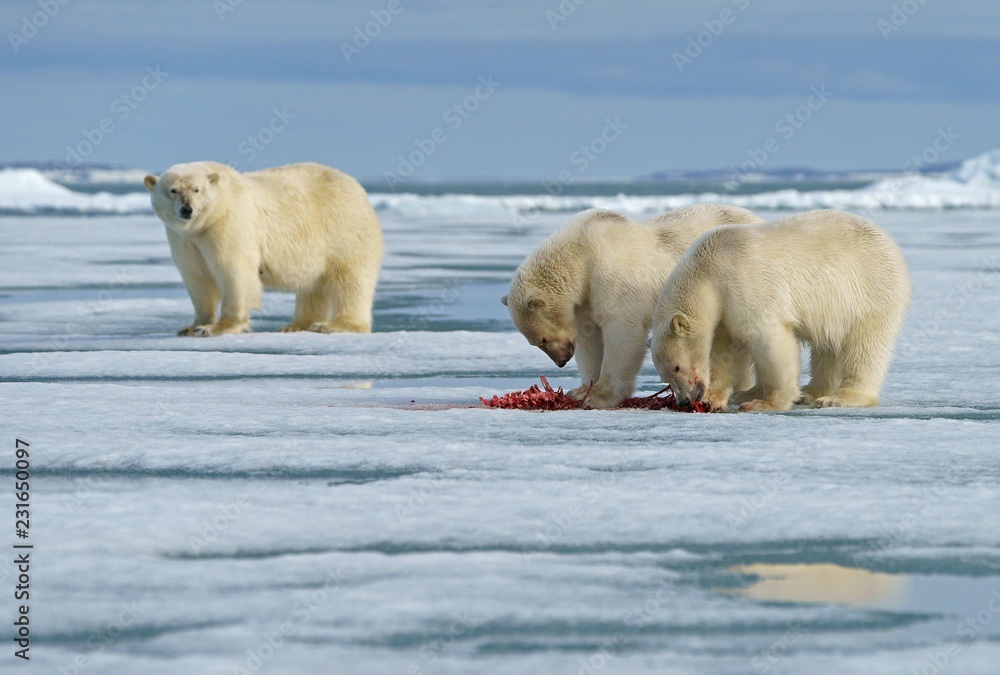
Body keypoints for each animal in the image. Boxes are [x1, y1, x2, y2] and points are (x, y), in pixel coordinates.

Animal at [144, 161, 383, 336]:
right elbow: (197, 276)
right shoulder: (184, 238)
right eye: (172, 190)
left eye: (197, 189)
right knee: (312, 286)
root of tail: (359, 190)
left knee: (349, 279)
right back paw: (295, 326)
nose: (187, 209)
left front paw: (217, 328)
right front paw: (192, 326)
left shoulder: (228, 222)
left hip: (342, 232)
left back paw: (333, 325)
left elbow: (233, 269)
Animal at [502, 204, 763, 408]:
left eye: (542, 339)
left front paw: (598, 396)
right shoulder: (586, 297)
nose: (562, 361)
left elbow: (622, 332)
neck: (584, 250)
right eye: (535, 343)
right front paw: (580, 390)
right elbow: (589, 337)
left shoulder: (614, 277)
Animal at [650, 209, 911, 412]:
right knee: (826, 345)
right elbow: (726, 348)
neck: (710, 268)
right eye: (666, 377)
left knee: (865, 346)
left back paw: (838, 397)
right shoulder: (724, 310)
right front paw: (715, 397)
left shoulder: (746, 283)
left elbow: (768, 339)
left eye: (676, 366)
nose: (684, 400)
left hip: (868, 291)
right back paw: (809, 392)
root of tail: (890, 243)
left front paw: (765, 402)